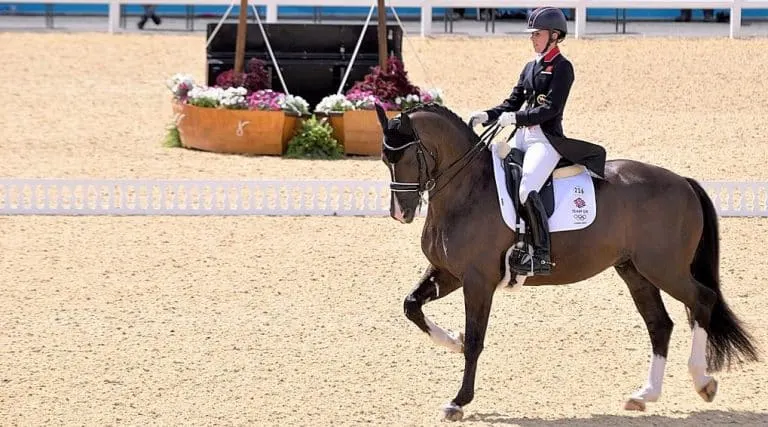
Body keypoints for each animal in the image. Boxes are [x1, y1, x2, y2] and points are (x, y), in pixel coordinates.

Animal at [374, 102, 760, 421]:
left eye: (407, 157)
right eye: (384, 159)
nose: (400, 213)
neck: (466, 190)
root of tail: (683, 182)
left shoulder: (477, 280)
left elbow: (475, 340)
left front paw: (458, 401)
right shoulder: (448, 273)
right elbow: (412, 306)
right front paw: (451, 340)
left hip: (665, 268)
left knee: (702, 300)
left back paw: (703, 382)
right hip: (634, 270)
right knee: (660, 324)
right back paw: (645, 395)